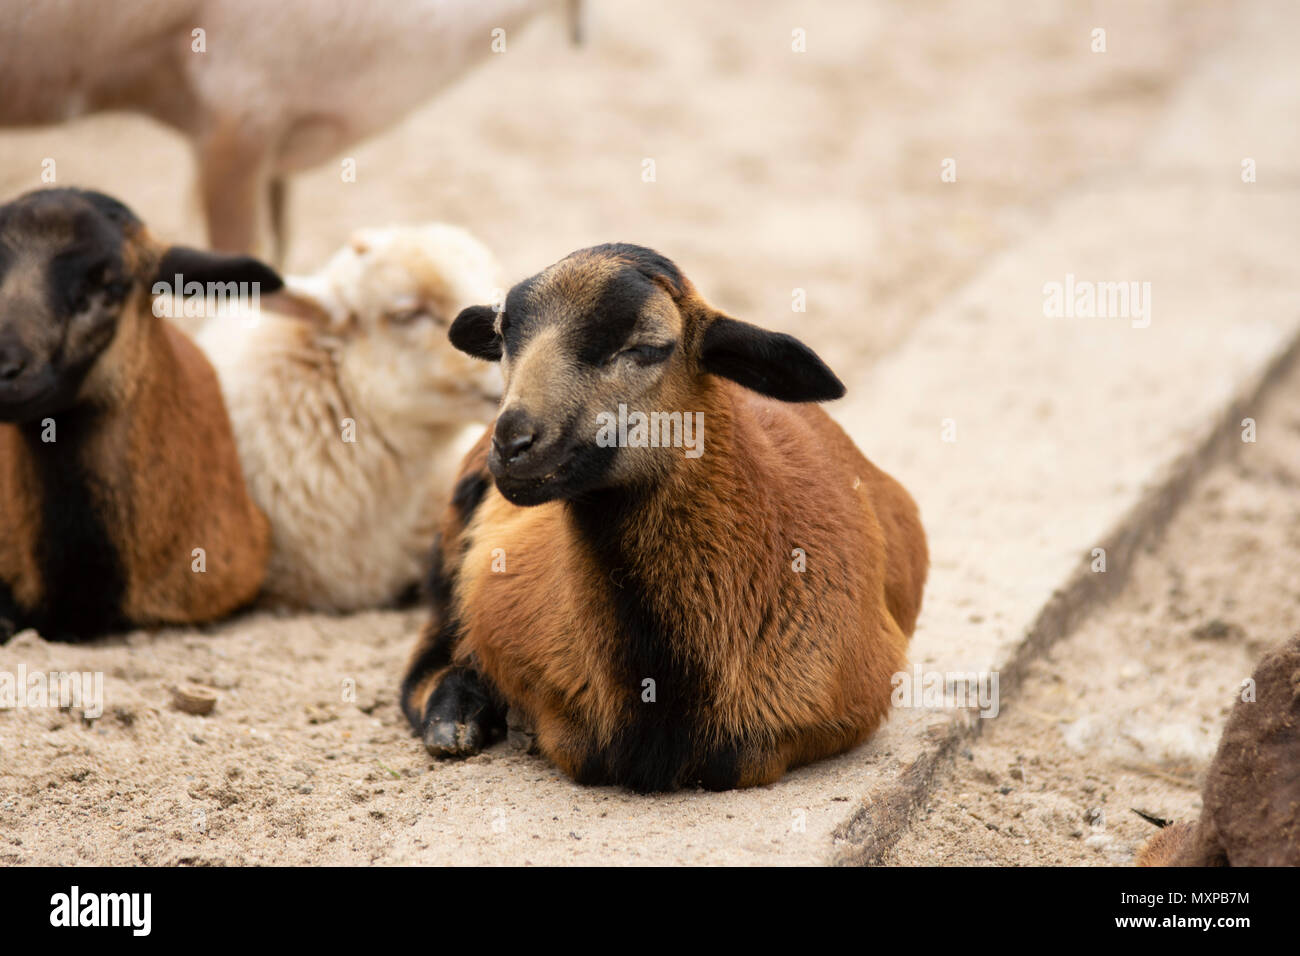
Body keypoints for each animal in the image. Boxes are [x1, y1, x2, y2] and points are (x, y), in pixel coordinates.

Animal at [399, 243, 929, 792]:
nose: (511, 445)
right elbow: (582, 749)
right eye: (502, 338)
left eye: (648, 346)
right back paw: (454, 719)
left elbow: (736, 758)